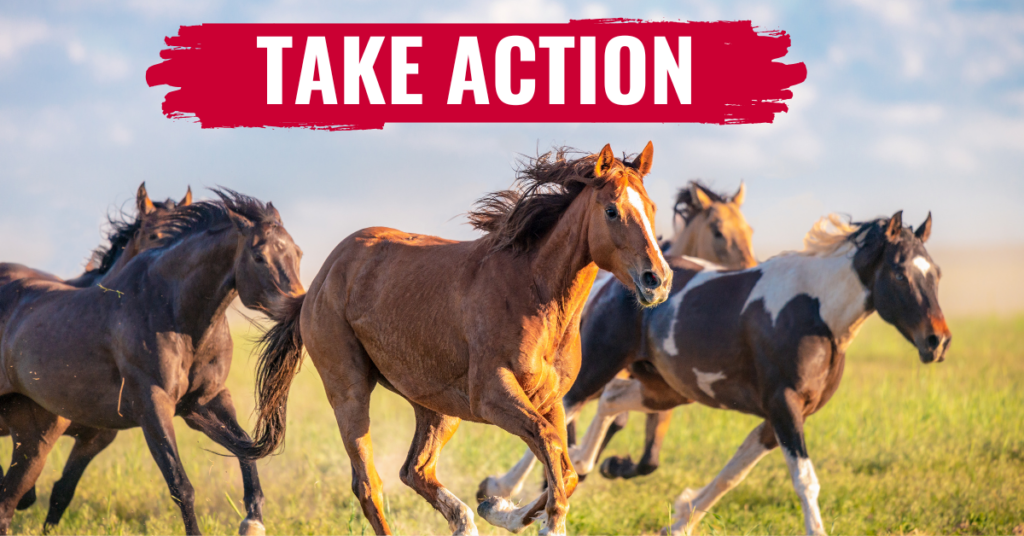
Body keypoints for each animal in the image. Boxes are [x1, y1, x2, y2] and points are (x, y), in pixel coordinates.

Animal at [241, 143, 672, 536]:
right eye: (612, 210)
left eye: (651, 208)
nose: (658, 279)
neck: (535, 295)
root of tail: (320, 279)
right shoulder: (493, 395)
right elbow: (551, 450)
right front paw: (540, 522)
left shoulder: (550, 400)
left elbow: (563, 469)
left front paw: (499, 508)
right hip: (349, 392)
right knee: (369, 485)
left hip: (437, 407)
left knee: (415, 470)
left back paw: (467, 520)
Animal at [480, 180, 757, 499]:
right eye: (718, 232)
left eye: (749, 230)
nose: (751, 267)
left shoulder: (660, 386)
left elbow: (648, 457)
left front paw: (612, 465)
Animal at [560, 211, 950, 535]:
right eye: (900, 273)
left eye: (936, 273)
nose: (938, 341)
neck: (815, 314)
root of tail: (614, 280)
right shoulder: (784, 406)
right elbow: (804, 481)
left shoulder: (781, 415)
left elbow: (733, 473)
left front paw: (680, 519)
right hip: (599, 365)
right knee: (565, 409)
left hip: (666, 389)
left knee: (611, 400)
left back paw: (584, 463)